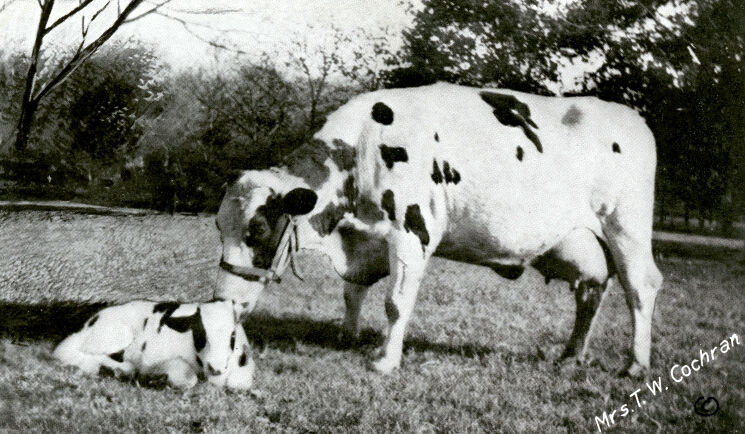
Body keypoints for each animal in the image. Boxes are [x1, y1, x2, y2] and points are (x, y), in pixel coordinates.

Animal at [54, 299, 255, 390]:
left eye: (233, 334)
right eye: (200, 333)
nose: (216, 367)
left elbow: (240, 382)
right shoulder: (151, 358)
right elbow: (187, 378)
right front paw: (157, 378)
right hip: (116, 335)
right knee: (78, 355)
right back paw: (121, 370)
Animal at [214, 82, 662, 377]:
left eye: (257, 229)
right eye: (219, 227)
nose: (222, 302)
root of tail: (630, 117)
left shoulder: (412, 232)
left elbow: (396, 303)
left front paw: (384, 361)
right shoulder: (367, 239)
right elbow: (353, 291)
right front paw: (347, 335)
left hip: (626, 227)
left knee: (640, 286)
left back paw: (635, 366)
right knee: (591, 291)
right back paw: (571, 355)